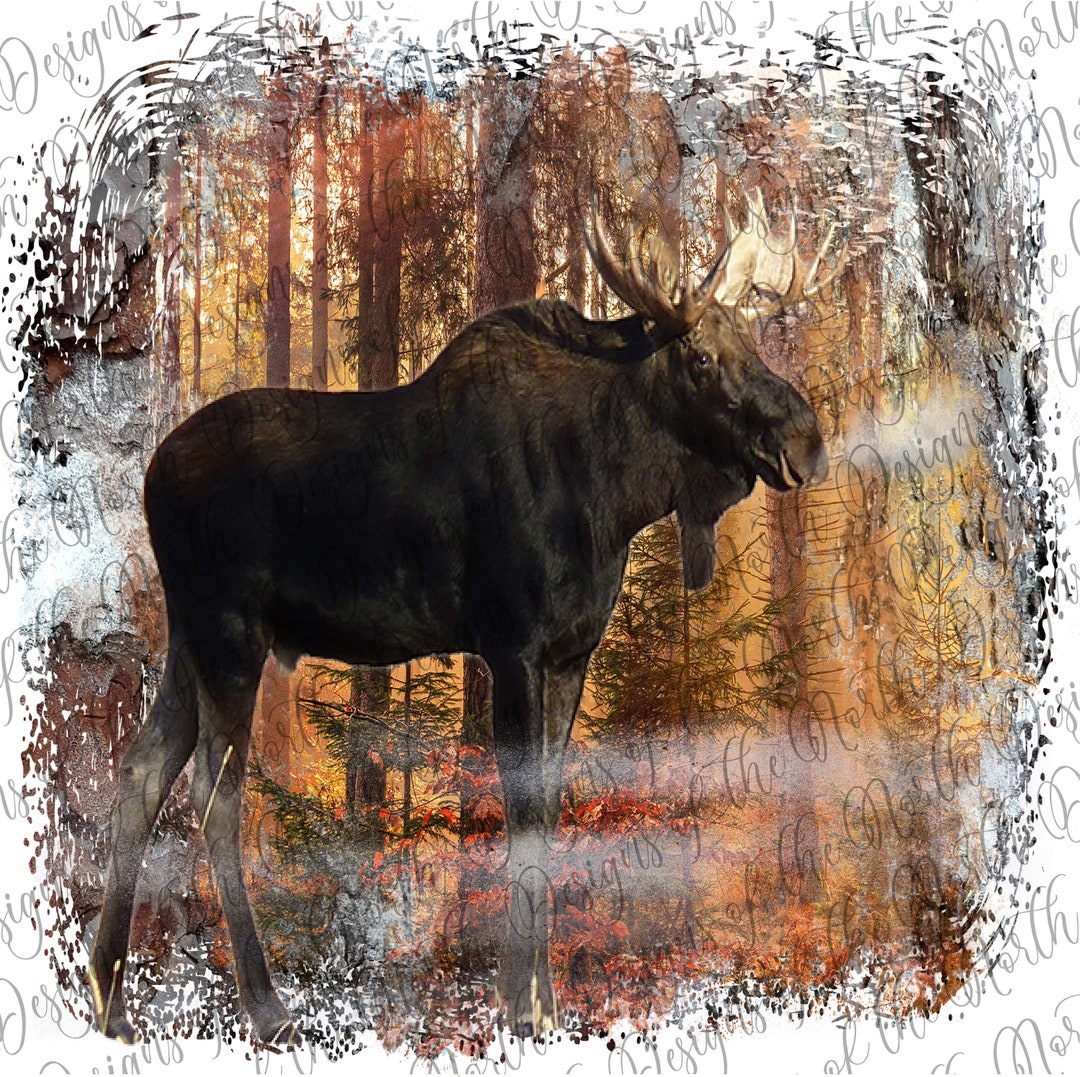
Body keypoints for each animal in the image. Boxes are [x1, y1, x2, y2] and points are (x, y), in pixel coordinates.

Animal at [89, 193, 842, 1044]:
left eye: (751, 340)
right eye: (703, 359)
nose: (806, 440)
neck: (615, 492)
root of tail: (150, 473)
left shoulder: (571, 652)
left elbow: (549, 809)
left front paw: (544, 1000)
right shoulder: (512, 644)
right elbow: (518, 814)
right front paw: (520, 1004)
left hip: (188, 639)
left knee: (140, 772)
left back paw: (111, 1000)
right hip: (230, 634)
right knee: (214, 799)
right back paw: (265, 1003)